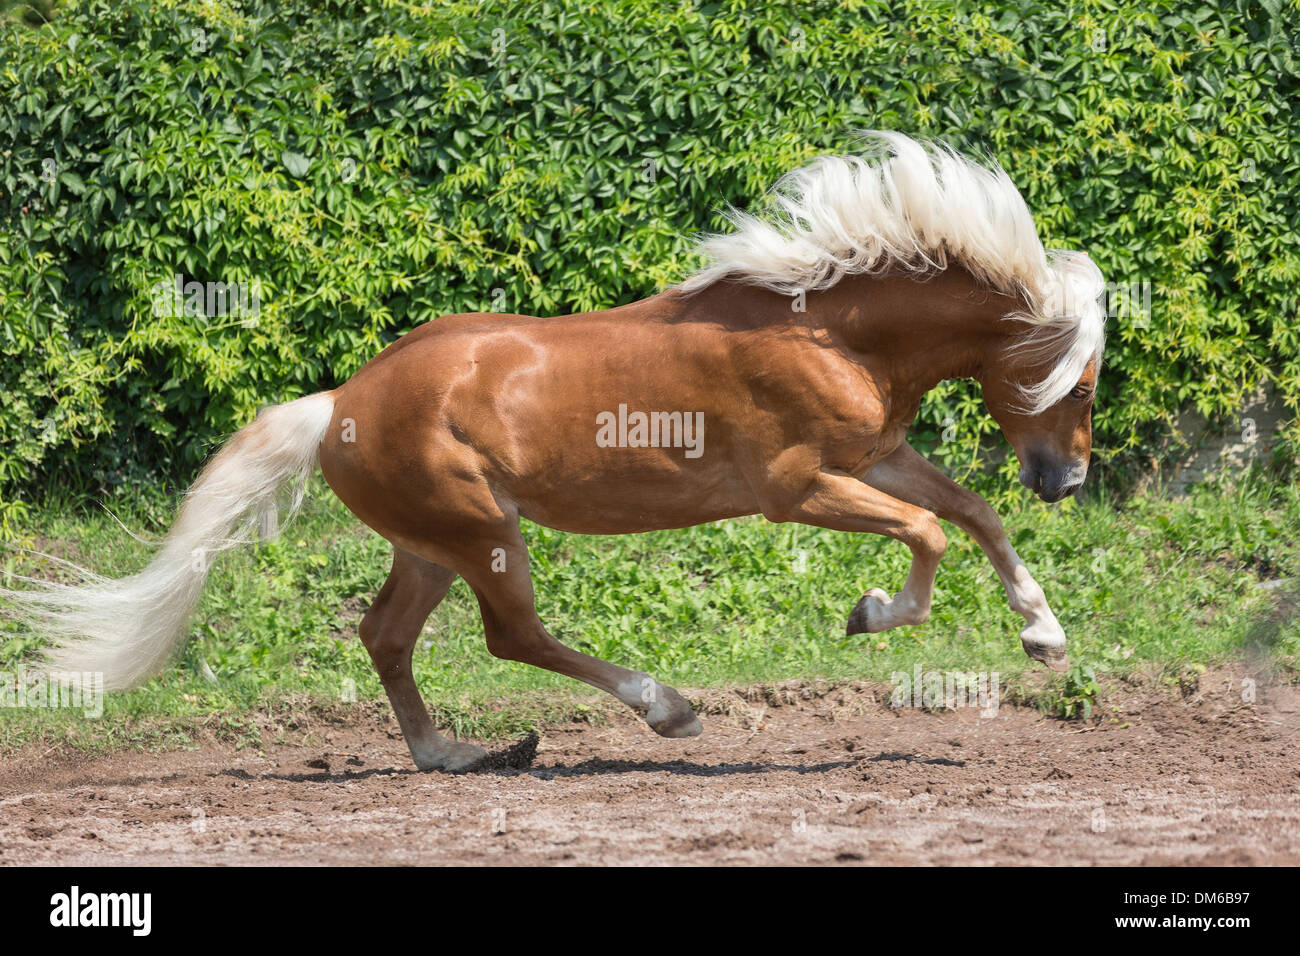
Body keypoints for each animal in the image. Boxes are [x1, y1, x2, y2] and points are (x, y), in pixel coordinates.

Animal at [6, 132, 1105, 772]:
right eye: (1082, 381)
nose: (1066, 480)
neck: (828, 329)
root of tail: (338, 404)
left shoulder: (871, 456)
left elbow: (970, 513)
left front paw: (1045, 636)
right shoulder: (797, 488)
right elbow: (928, 533)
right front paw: (871, 612)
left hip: (432, 543)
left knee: (385, 636)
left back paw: (448, 752)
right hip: (480, 529)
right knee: (512, 637)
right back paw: (666, 709)